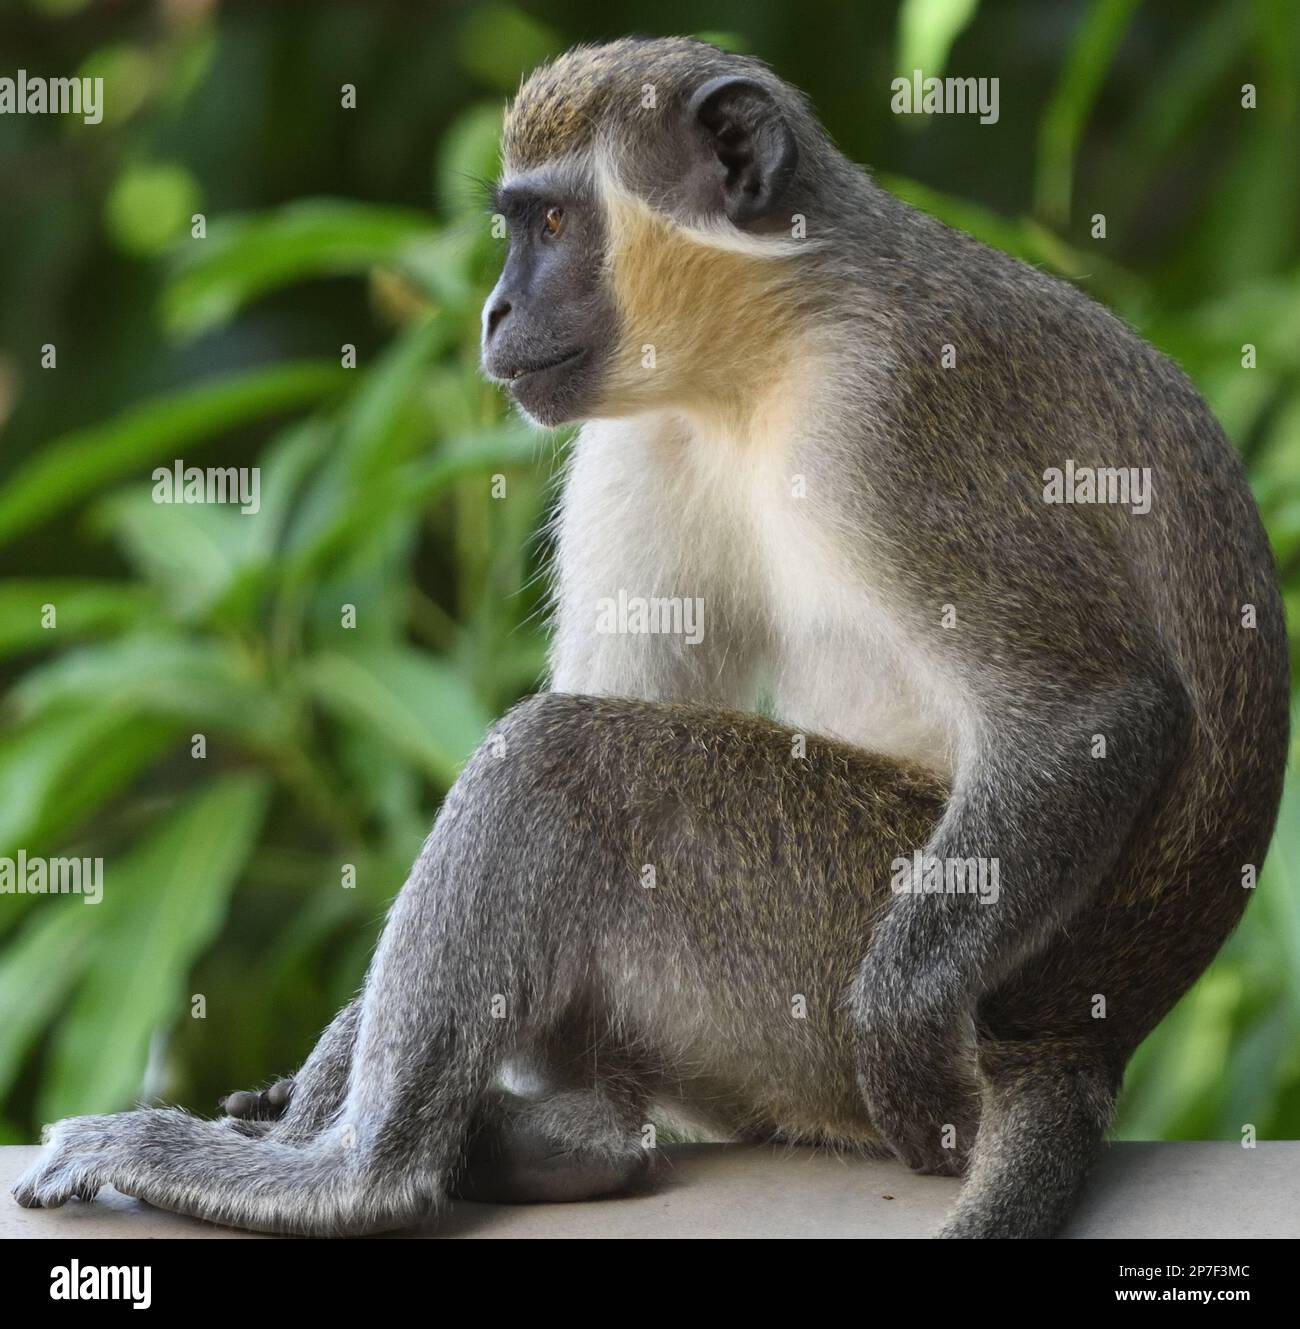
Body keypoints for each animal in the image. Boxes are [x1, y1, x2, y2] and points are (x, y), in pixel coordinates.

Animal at [14, 37, 1288, 1239]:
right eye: (517, 225)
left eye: (553, 222)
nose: (493, 313)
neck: (765, 354)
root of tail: (1085, 1043)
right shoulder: (640, 434)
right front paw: (321, 1066)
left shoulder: (896, 410)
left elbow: (1092, 711)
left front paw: (900, 1015)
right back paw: (553, 1144)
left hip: (808, 926)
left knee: (563, 760)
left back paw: (359, 1178)